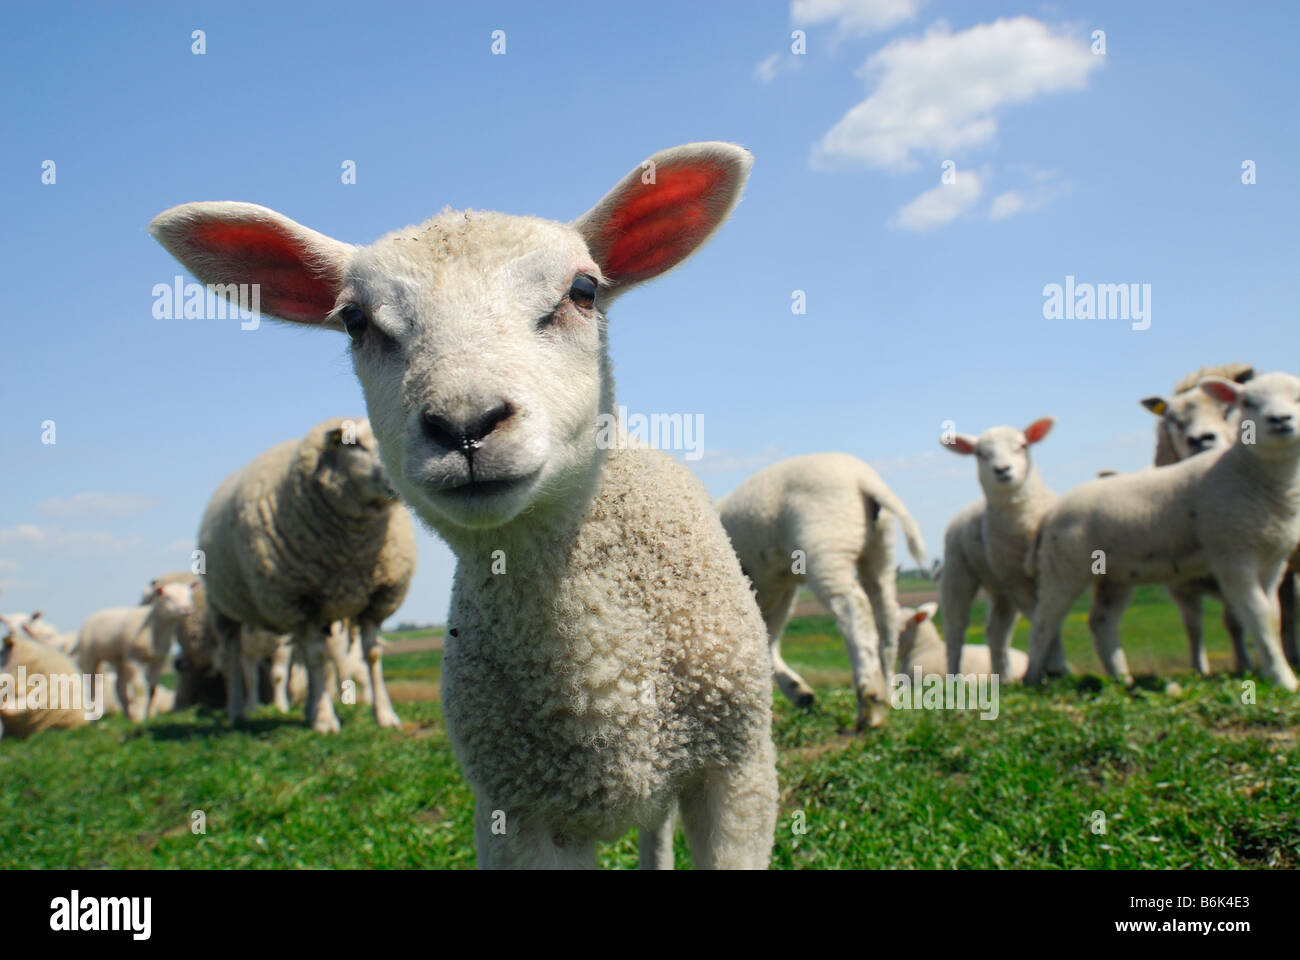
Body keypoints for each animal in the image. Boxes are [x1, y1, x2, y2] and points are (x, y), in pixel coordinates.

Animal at [76, 582, 196, 722]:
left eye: (189, 596)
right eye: (168, 597)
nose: (186, 609)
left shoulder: (158, 659)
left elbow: (152, 689)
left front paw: (150, 715)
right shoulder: (134, 658)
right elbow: (140, 688)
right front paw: (139, 718)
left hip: (120, 658)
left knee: (119, 687)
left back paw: (128, 715)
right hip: (90, 656)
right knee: (91, 685)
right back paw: (94, 719)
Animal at [192, 417, 414, 733]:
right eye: (354, 444)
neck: (353, 549)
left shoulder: (375, 598)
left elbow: (371, 654)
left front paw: (384, 715)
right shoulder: (302, 599)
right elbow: (318, 657)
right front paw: (326, 720)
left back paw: (309, 709)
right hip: (224, 609)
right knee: (234, 658)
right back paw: (237, 712)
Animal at [717, 452, 927, 729]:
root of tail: (863, 477)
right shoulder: (776, 589)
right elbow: (765, 638)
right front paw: (798, 692)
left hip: (825, 543)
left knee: (854, 607)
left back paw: (869, 701)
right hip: (878, 548)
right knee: (886, 614)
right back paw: (887, 691)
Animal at [938, 418, 1067, 682]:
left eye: (1022, 445)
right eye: (980, 453)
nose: (1002, 470)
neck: (1024, 524)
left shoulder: (1049, 574)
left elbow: (1050, 616)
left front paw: (1056, 668)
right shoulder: (1017, 581)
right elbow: (1041, 618)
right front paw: (1055, 665)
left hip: (1000, 588)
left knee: (996, 631)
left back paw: (1004, 678)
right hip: (958, 572)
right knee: (955, 628)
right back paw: (955, 677)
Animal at [1024, 372, 1300, 692]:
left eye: (1299, 397)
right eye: (1247, 402)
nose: (1279, 420)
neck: (1250, 474)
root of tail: (1051, 513)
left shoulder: (1274, 563)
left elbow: (1273, 617)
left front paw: (1275, 671)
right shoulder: (1231, 554)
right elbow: (1258, 615)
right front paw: (1285, 680)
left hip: (1112, 574)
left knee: (1101, 622)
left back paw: (1122, 678)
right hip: (1063, 567)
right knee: (1043, 622)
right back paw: (1032, 679)